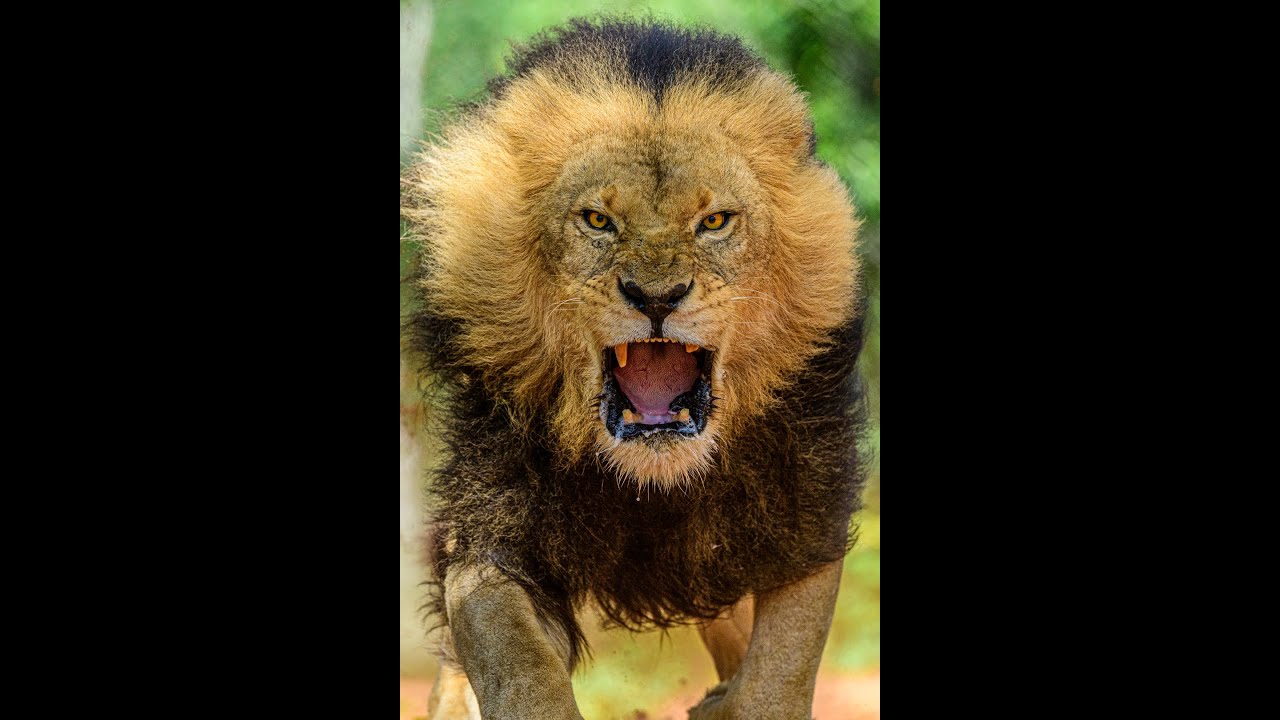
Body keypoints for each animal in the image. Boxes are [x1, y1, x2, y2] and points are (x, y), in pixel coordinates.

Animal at [401, 18, 869, 720]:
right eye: (598, 220)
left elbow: (781, 669)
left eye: (714, 221)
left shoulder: (799, 515)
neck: (650, 483)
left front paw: (749, 697)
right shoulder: (492, 532)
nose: (656, 297)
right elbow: (516, 662)